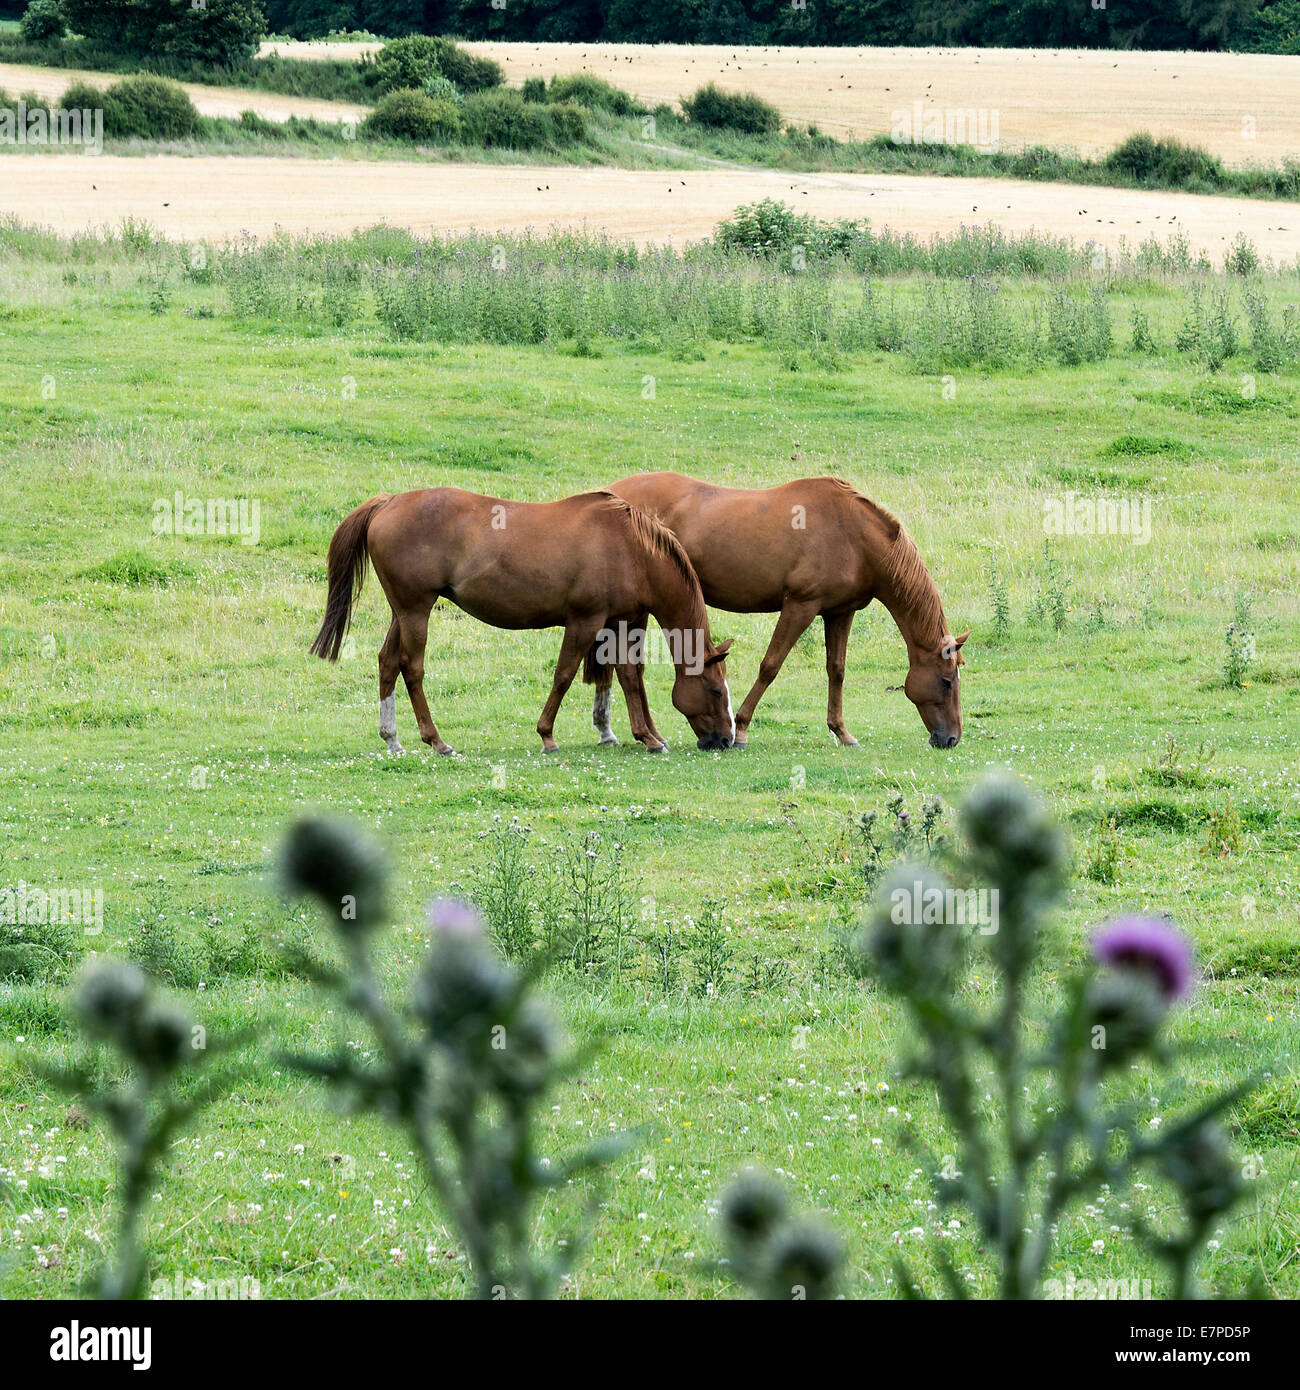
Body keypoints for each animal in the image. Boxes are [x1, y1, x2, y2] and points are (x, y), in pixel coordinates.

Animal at [310, 488, 735, 755]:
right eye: (715, 691)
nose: (726, 739)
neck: (629, 547)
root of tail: (389, 503)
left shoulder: (616, 623)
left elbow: (631, 678)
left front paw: (648, 736)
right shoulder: (585, 621)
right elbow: (564, 675)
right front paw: (547, 735)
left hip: (404, 612)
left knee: (387, 663)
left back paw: (392, 737)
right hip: (416, 611)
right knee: (411, 668)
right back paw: (436, 740)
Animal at [590, 472, 968, 750]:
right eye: (947, 681)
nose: (951, 739)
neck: (853, 534)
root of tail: (613, 493)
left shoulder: (840, 613)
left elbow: (836, 670)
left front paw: (841, 731)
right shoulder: (800, 605)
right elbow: (770, 665)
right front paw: (741, 729)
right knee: (627, 669)